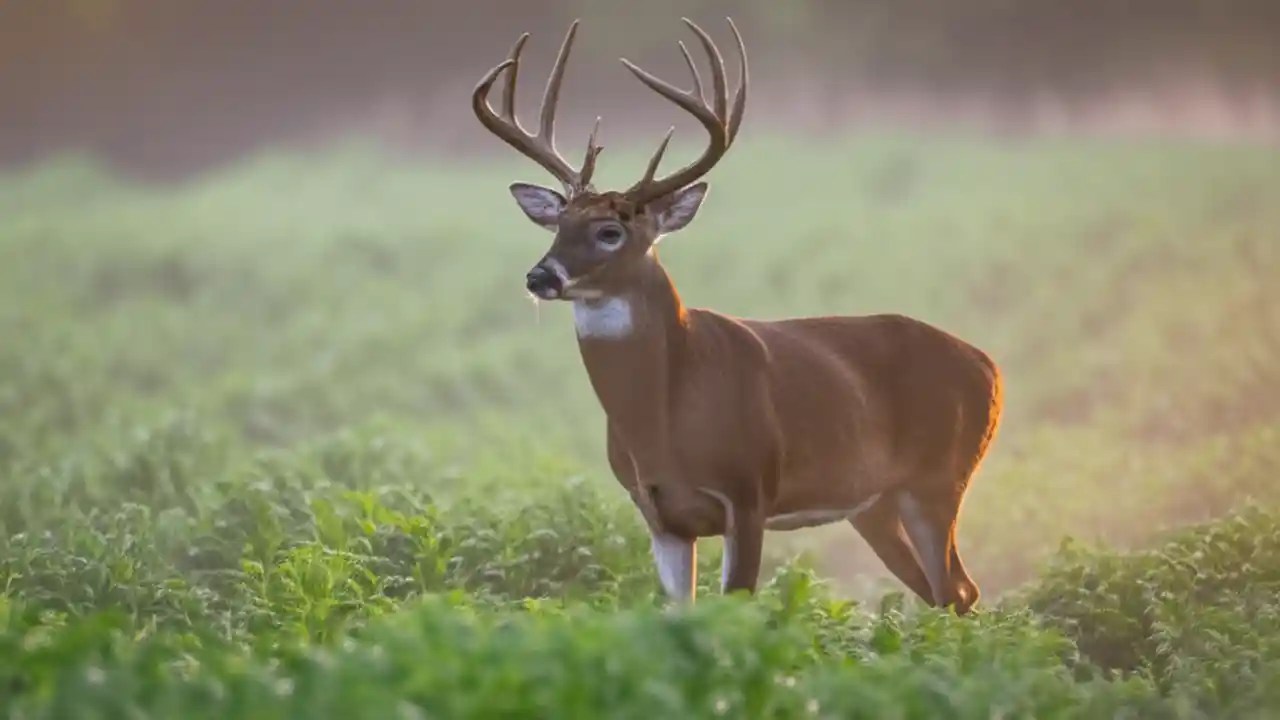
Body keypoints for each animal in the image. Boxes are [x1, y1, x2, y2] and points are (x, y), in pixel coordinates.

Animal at [471, 18, 1002, 614]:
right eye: (558, 225)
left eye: (610, 231)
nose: (540, 276)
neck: (664, 418)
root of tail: (990, 367)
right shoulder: (658, 514)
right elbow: (680, 612)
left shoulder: (750, 492)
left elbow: (738, 605)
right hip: (874, 504)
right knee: (944, 591)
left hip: (940, 477)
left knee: (958, 589)